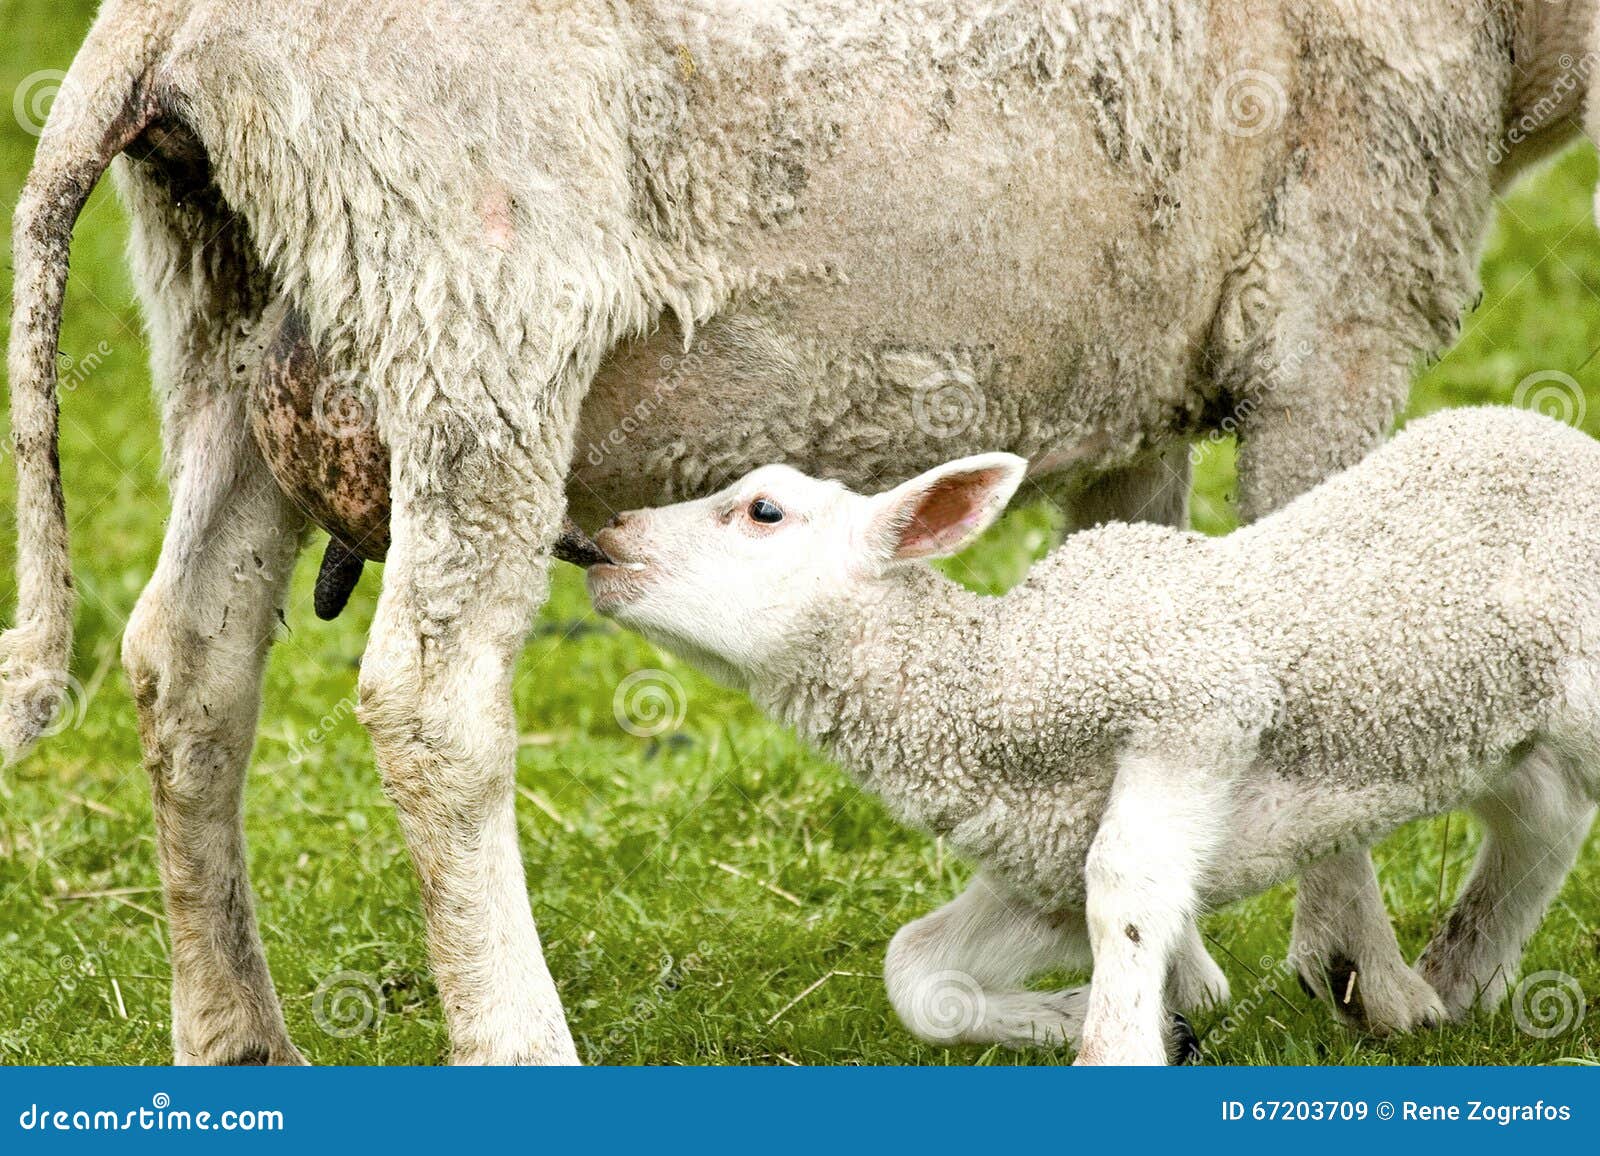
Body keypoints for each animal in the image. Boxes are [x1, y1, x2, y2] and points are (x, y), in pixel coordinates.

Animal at [586, 406, 1600, 1064]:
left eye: (763, 511)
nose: (602, 539)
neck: (1005, 684)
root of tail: (1560, 436)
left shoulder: (1195, 706)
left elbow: (1124, 887)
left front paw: (1116, 1046)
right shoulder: (1040, 862)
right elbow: (916, 969)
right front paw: (1107, 1019)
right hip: (1477, 722)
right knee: (1543, 817)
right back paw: (1448, 985)